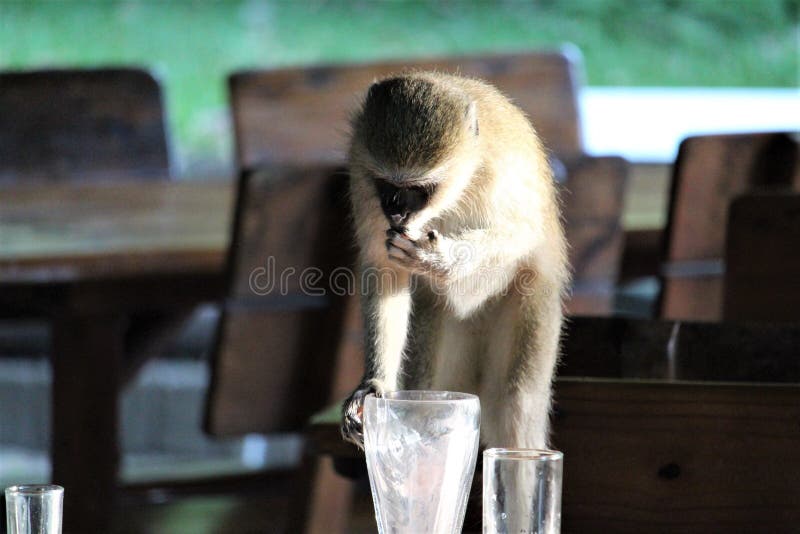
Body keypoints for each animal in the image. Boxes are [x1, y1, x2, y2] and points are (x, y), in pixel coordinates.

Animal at [340, 71, 569, 450]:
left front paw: (441, 261)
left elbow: (522, 234)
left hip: (530, 304)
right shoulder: (362, 175)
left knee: (515, 403)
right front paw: (374, 383)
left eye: (418, 190)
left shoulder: (501, 172)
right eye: (388, 186)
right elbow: (384, 269)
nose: (396, 211)